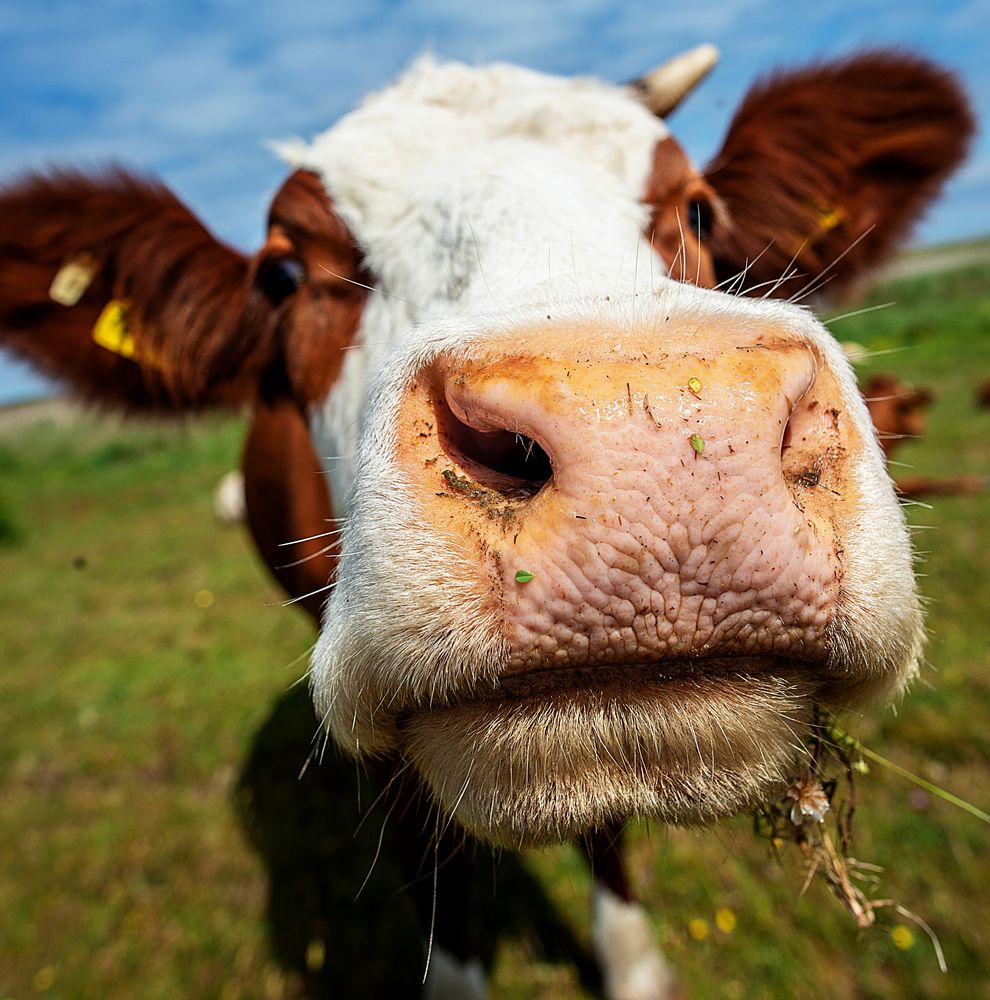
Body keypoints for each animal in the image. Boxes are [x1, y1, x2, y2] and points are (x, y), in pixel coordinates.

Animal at [0, 47, 973, 999]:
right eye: (280, 272)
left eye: (699, 211)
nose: (654, 437)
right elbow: (430, 864)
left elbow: (606, 832)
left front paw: (632, 965)